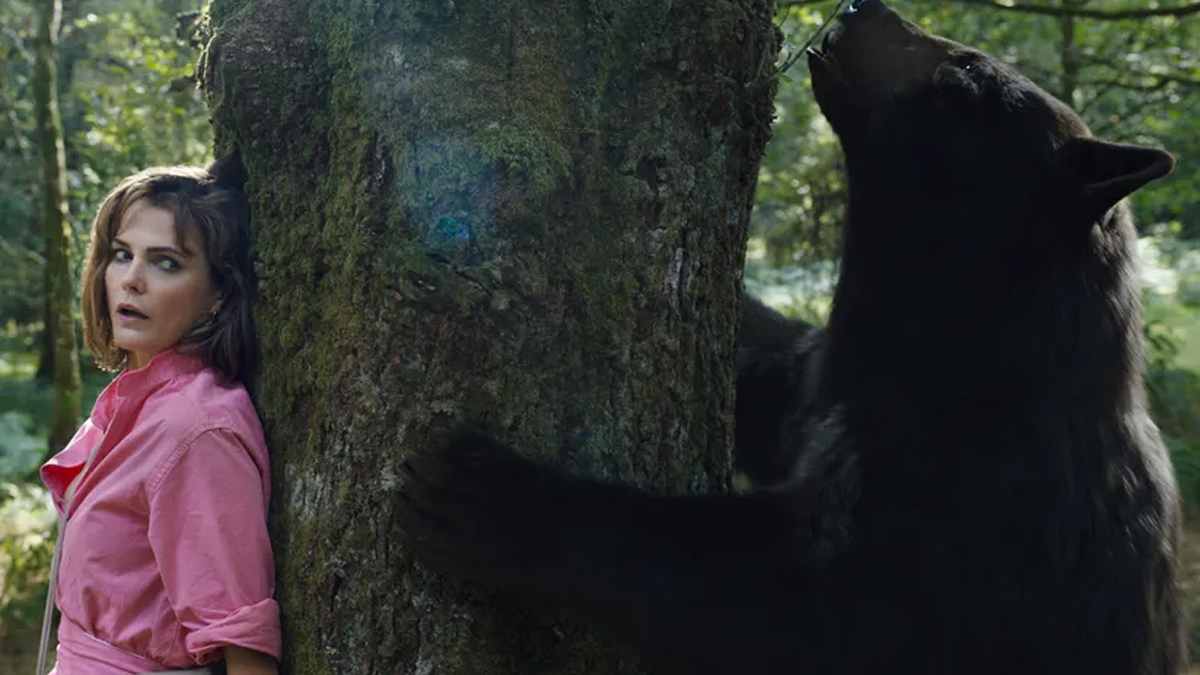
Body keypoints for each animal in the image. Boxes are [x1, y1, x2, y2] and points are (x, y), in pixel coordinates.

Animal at [395, 1, 1184, 673]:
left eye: (967, 72)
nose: (862, 6)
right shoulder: (823, 384)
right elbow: (767, 373)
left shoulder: (977, 522)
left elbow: (784, 603)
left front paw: (497, 498)